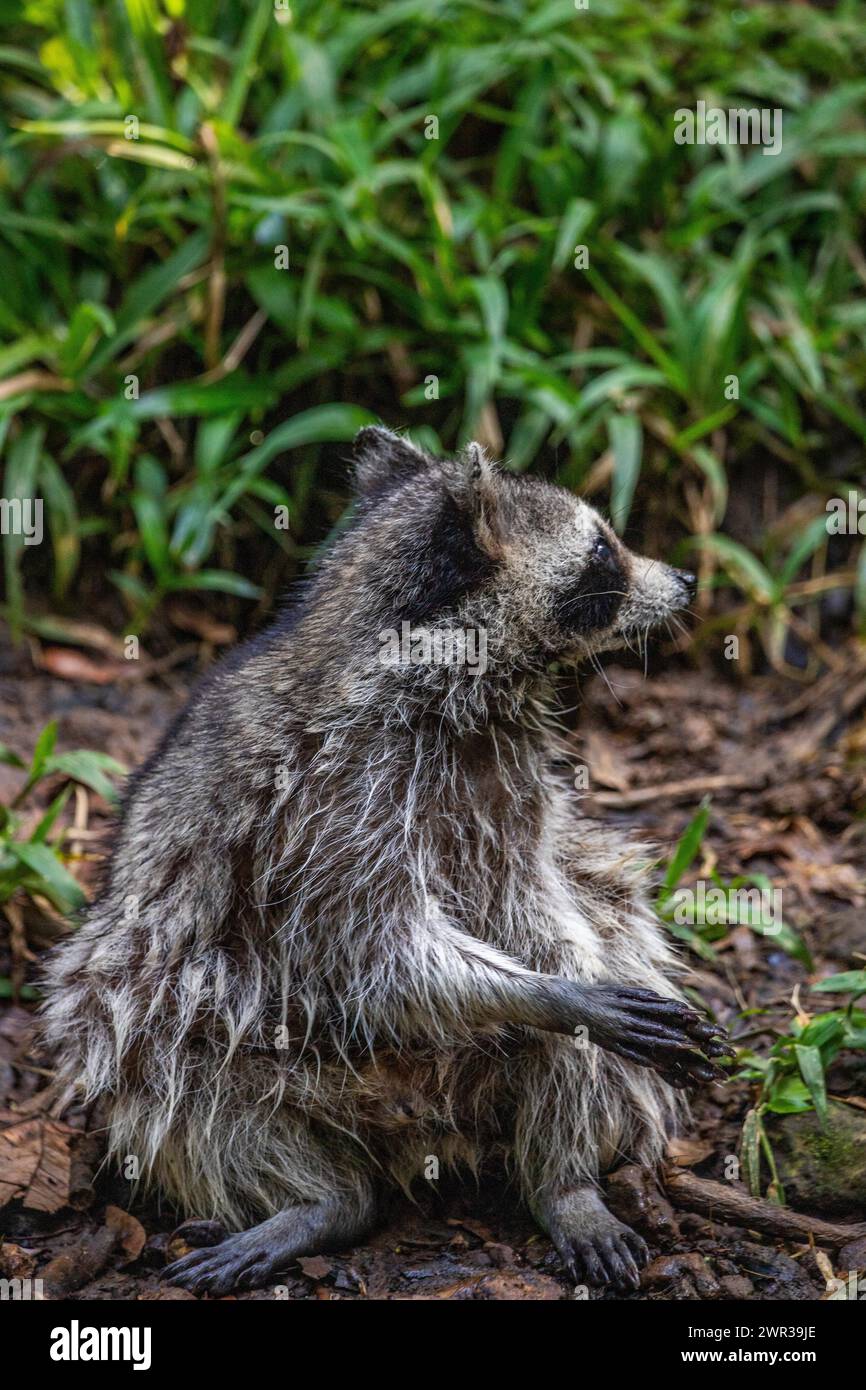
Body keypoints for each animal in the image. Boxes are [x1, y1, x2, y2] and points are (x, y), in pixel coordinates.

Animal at [41, 427, 730, 1295]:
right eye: (604, 552)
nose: (686, 579)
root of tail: (419, 1133)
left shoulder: (504, 784)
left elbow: (534, 904)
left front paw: (569, 980)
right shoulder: (329, 804)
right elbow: (372, 951)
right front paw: (554, 994)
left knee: (601, 940)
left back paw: (563, 1181)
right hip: (163, 997)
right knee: (164, 1046)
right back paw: (324, 1197)